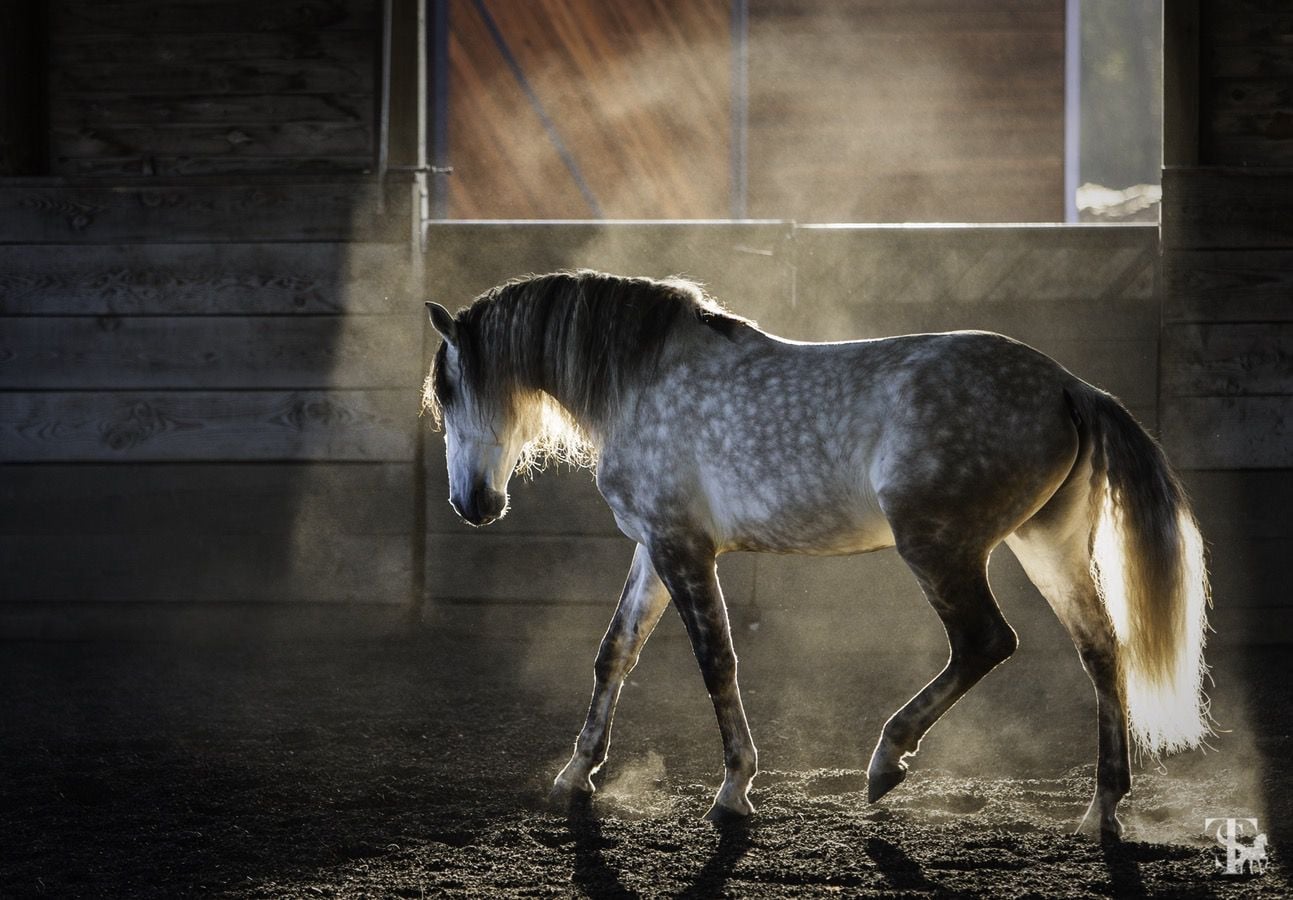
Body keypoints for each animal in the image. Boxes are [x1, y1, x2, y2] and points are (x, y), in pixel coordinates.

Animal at [422, 269, 1211, 838]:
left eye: (452, 389)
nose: (471, 503)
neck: (641, 383)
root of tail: (1067, 386)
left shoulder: (683, 548)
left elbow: (716, 661)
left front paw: (735, 787)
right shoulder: (656, 546)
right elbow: (615, 651)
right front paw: (575, 774)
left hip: (938, 546)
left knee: (985, 642)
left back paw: (886, 763)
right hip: (1045, 546)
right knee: (1100, 650)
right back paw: (1101, 808)